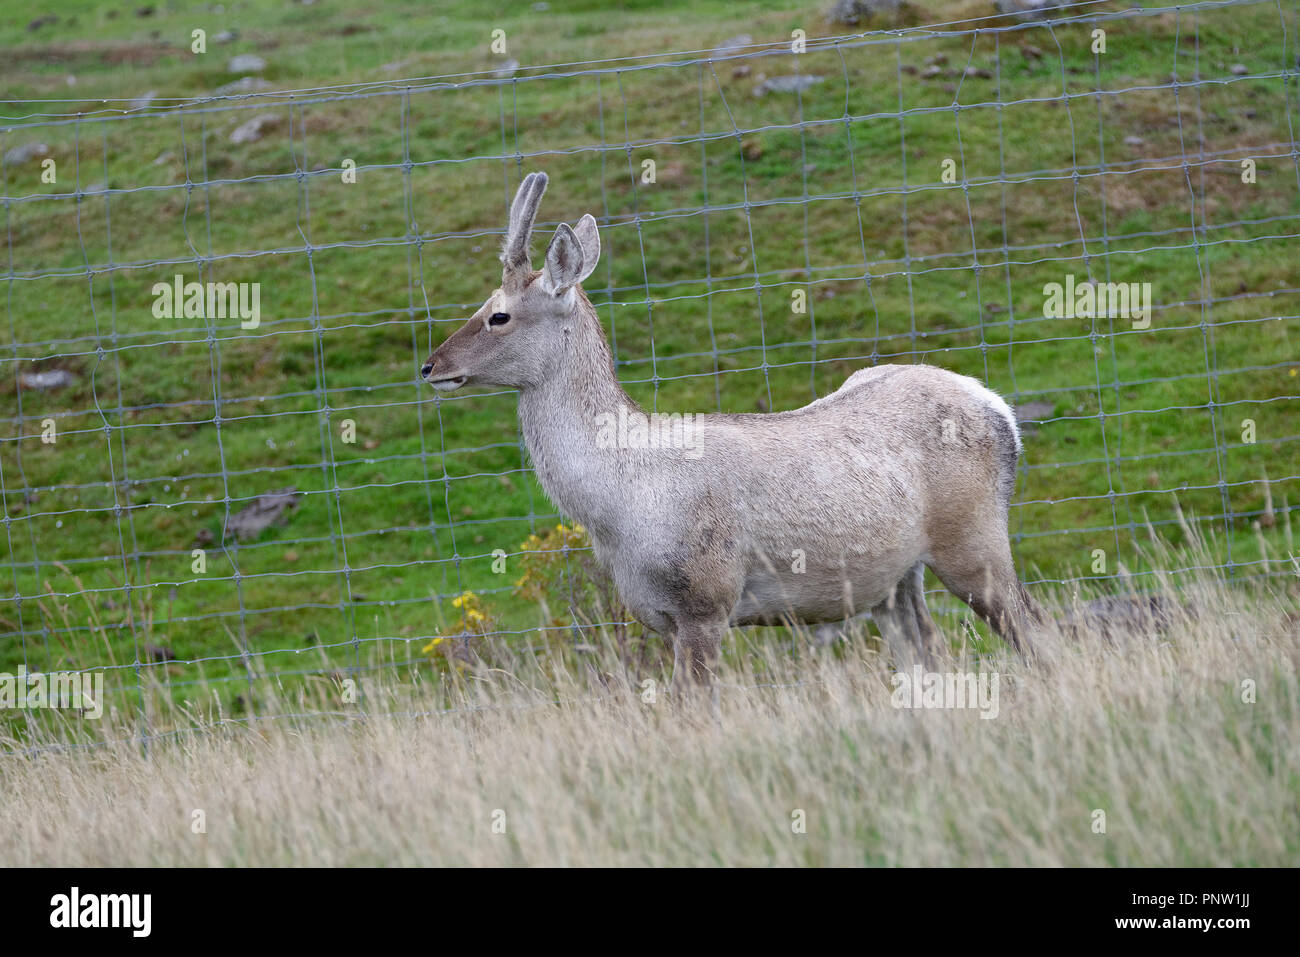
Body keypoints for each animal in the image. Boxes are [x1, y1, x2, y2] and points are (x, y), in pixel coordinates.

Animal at [422, 171, 1044, 685]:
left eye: (499, 314)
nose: (430, 366)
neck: (620, 503)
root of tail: (999, 409)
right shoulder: (664, 618)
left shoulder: (706, 598)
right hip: (893, 580)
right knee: (929, 653)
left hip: (974, 538)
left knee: (1039, 631)